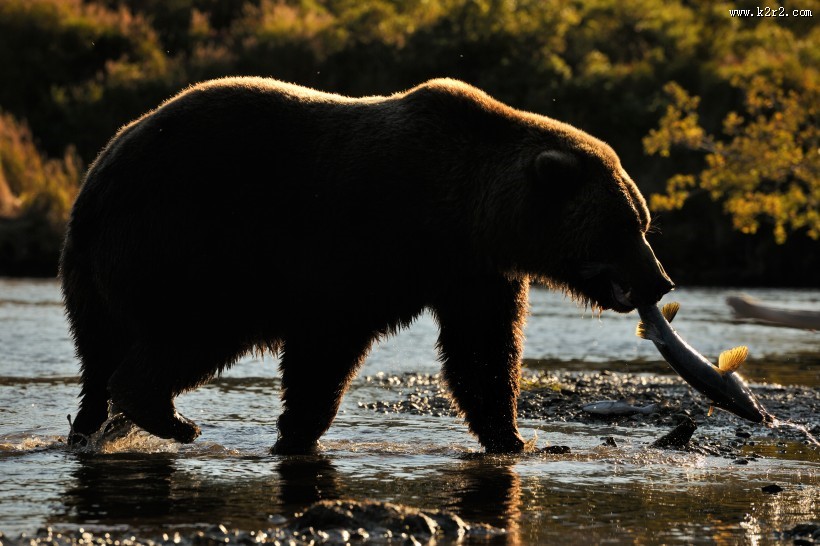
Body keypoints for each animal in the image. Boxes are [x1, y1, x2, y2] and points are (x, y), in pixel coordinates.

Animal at [60, 77, 674, 454]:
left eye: (643, 222)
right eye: (624, 226)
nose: (660, 281)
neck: (464, 212)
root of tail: (97, 181)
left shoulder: (473, 274)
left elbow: (483, 352)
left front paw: (513, 437)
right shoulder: (363, 244)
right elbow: (327, 345)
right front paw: (297, 431)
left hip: (94, 271)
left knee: (97, 353)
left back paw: (88, 428)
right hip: (190, 240)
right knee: (189, 330)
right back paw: (171, 419)